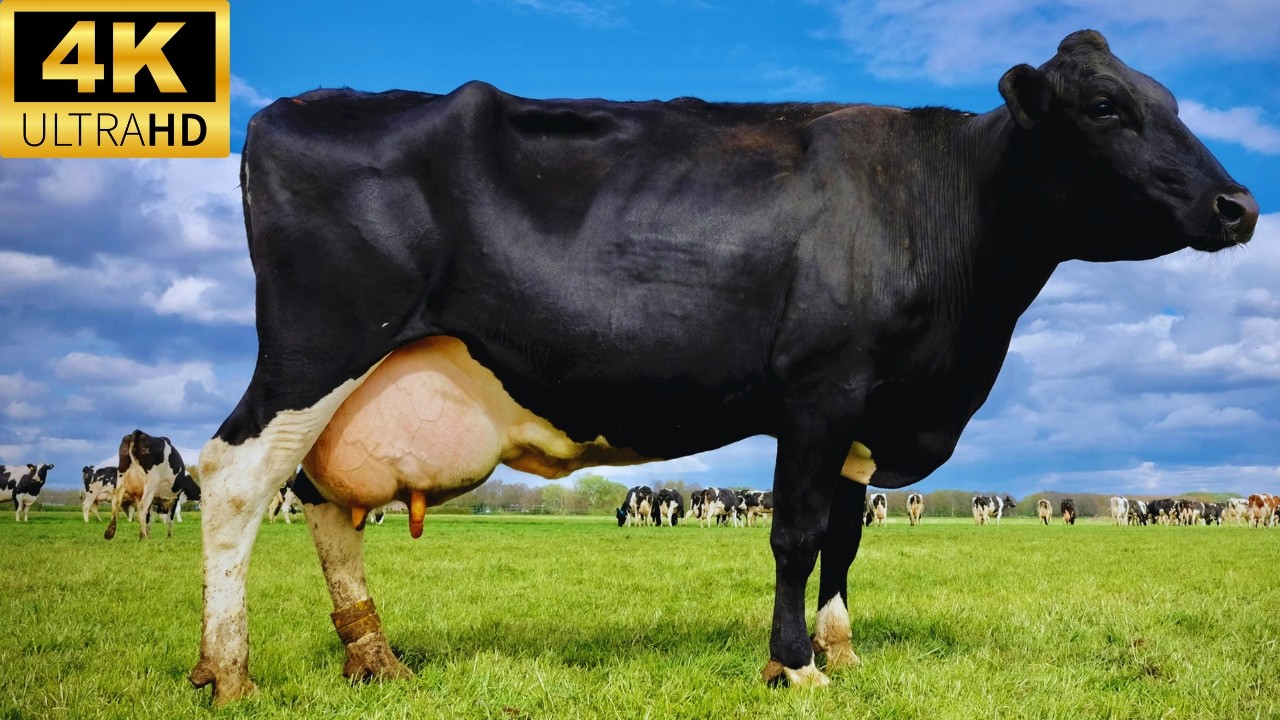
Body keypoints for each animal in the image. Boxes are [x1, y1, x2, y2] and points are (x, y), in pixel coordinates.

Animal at [189, 31, 1259, 702]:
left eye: (1170, 100)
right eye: (1108, 106)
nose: (1241, 205)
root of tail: (291, 110)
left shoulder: (865, 415)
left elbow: (845, 539)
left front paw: (842, 649)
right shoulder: (820, 389)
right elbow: (794, 534)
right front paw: (793, 665)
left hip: (349, 378)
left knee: (322, 499)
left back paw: (375, 659)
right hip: (317, 346)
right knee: (238, 478)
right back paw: (228, 670)